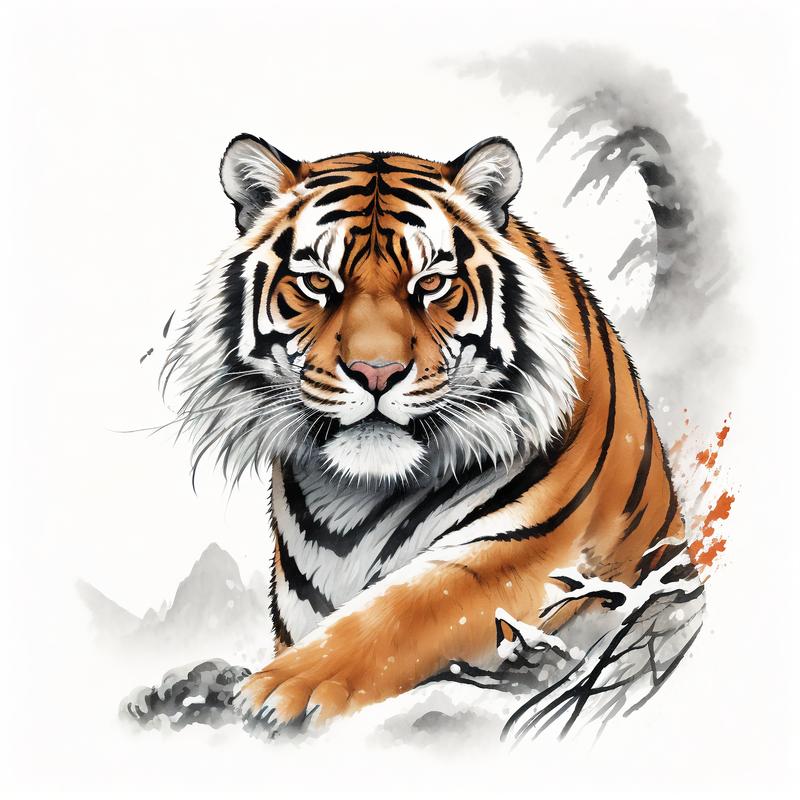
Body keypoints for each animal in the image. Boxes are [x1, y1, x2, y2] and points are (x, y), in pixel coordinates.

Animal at [162, 133, 685, 731]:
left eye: (431, 283)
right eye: (318, 282)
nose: (376, 372)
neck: (353, 499)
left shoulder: (524, 550)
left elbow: (402, 612)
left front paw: (283, 687)